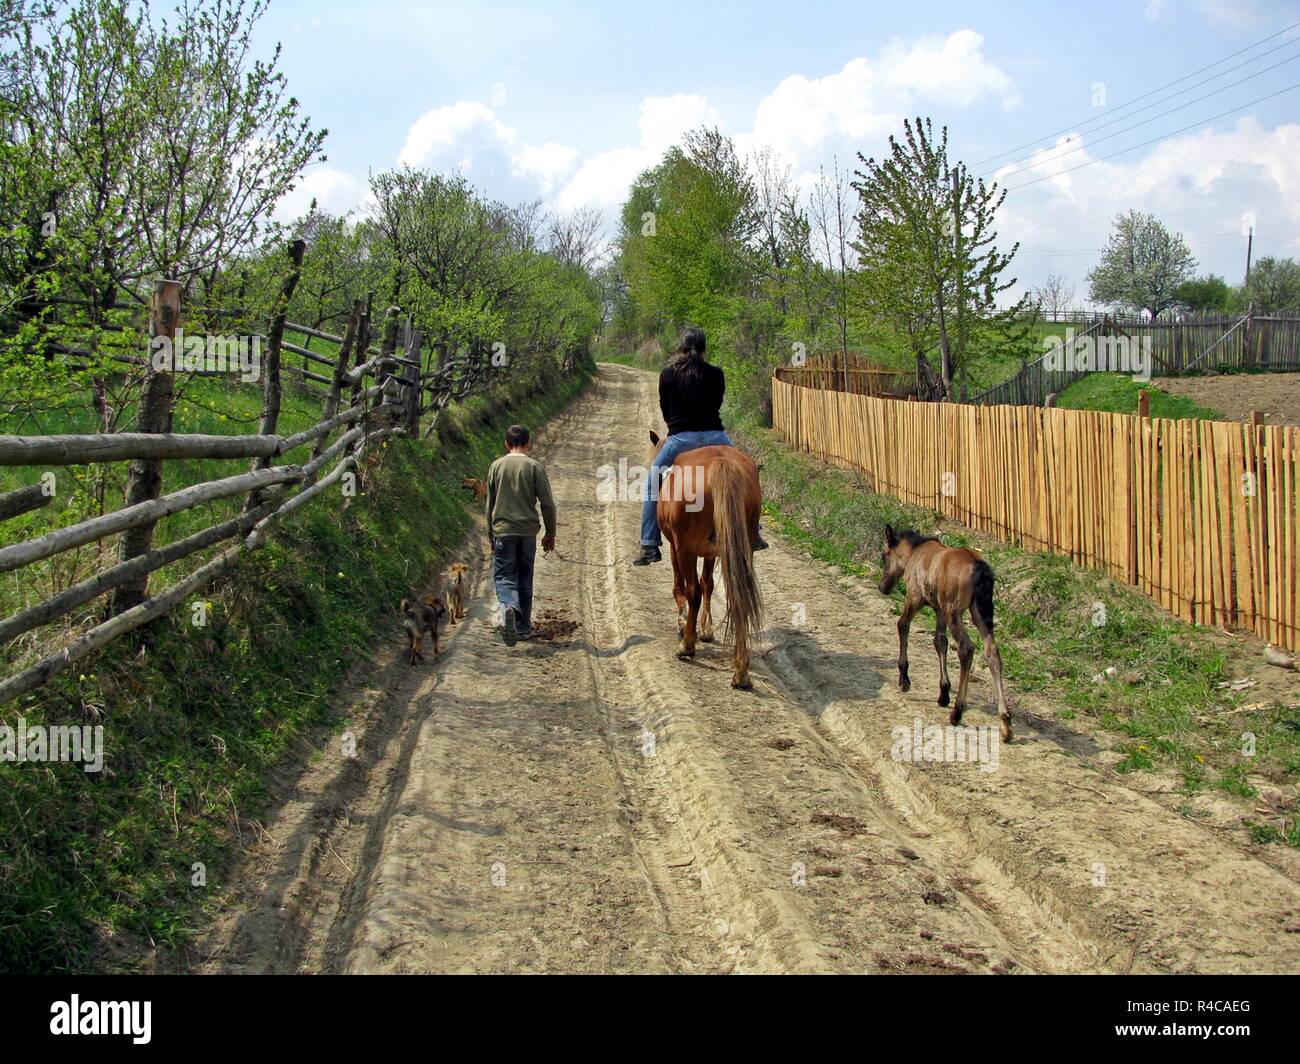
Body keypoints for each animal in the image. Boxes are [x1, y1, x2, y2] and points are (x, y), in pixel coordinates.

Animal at [646, 430, 763, 689]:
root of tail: (721, 465)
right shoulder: (712, 552)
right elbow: (708, 583)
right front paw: (706, 629)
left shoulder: (676, 547)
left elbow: (682, 587)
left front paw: (684, 624)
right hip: (740, 546)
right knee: (737, 596)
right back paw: (741, 673)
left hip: (684, 548)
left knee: (694, 591)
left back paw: (687, 646)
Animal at [878, 525, 1012, 742]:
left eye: (884, 555)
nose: (883, 587)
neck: (915, 553)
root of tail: (979, 568)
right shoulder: (938, 609)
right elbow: (940, 641)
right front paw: (943, 692)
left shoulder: (915, 597)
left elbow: (902, 625)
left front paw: (904, 680)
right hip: (979, 612)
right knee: (992, 652)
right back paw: (1006, 722)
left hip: (954, 610)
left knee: (966, 648)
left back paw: (957, 712)